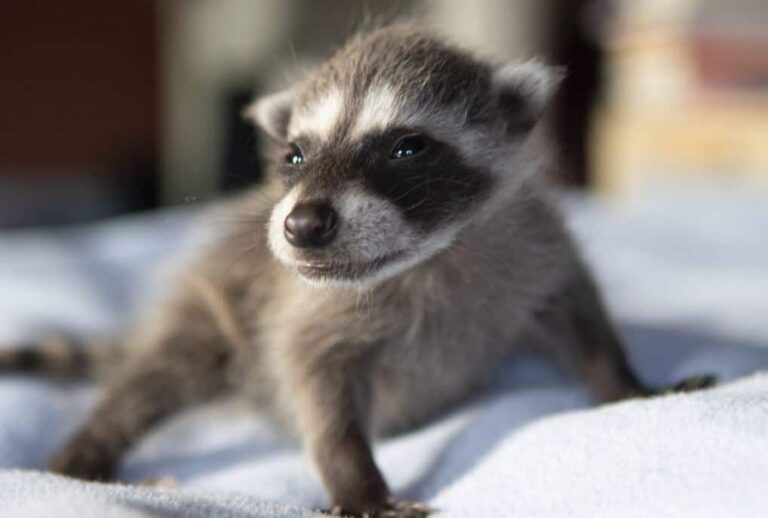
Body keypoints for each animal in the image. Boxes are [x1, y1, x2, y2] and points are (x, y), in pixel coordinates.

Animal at [0, 26, 697, 517]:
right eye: (294, 156)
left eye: (406, 147)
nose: (302, 225)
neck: (429, 256)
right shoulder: (304, 306)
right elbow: (316, 384)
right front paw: (358, 481)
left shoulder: (532, 242)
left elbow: (578, 312)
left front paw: (626, 383)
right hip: (214, 307)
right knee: (157, 377)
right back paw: (87, 449)